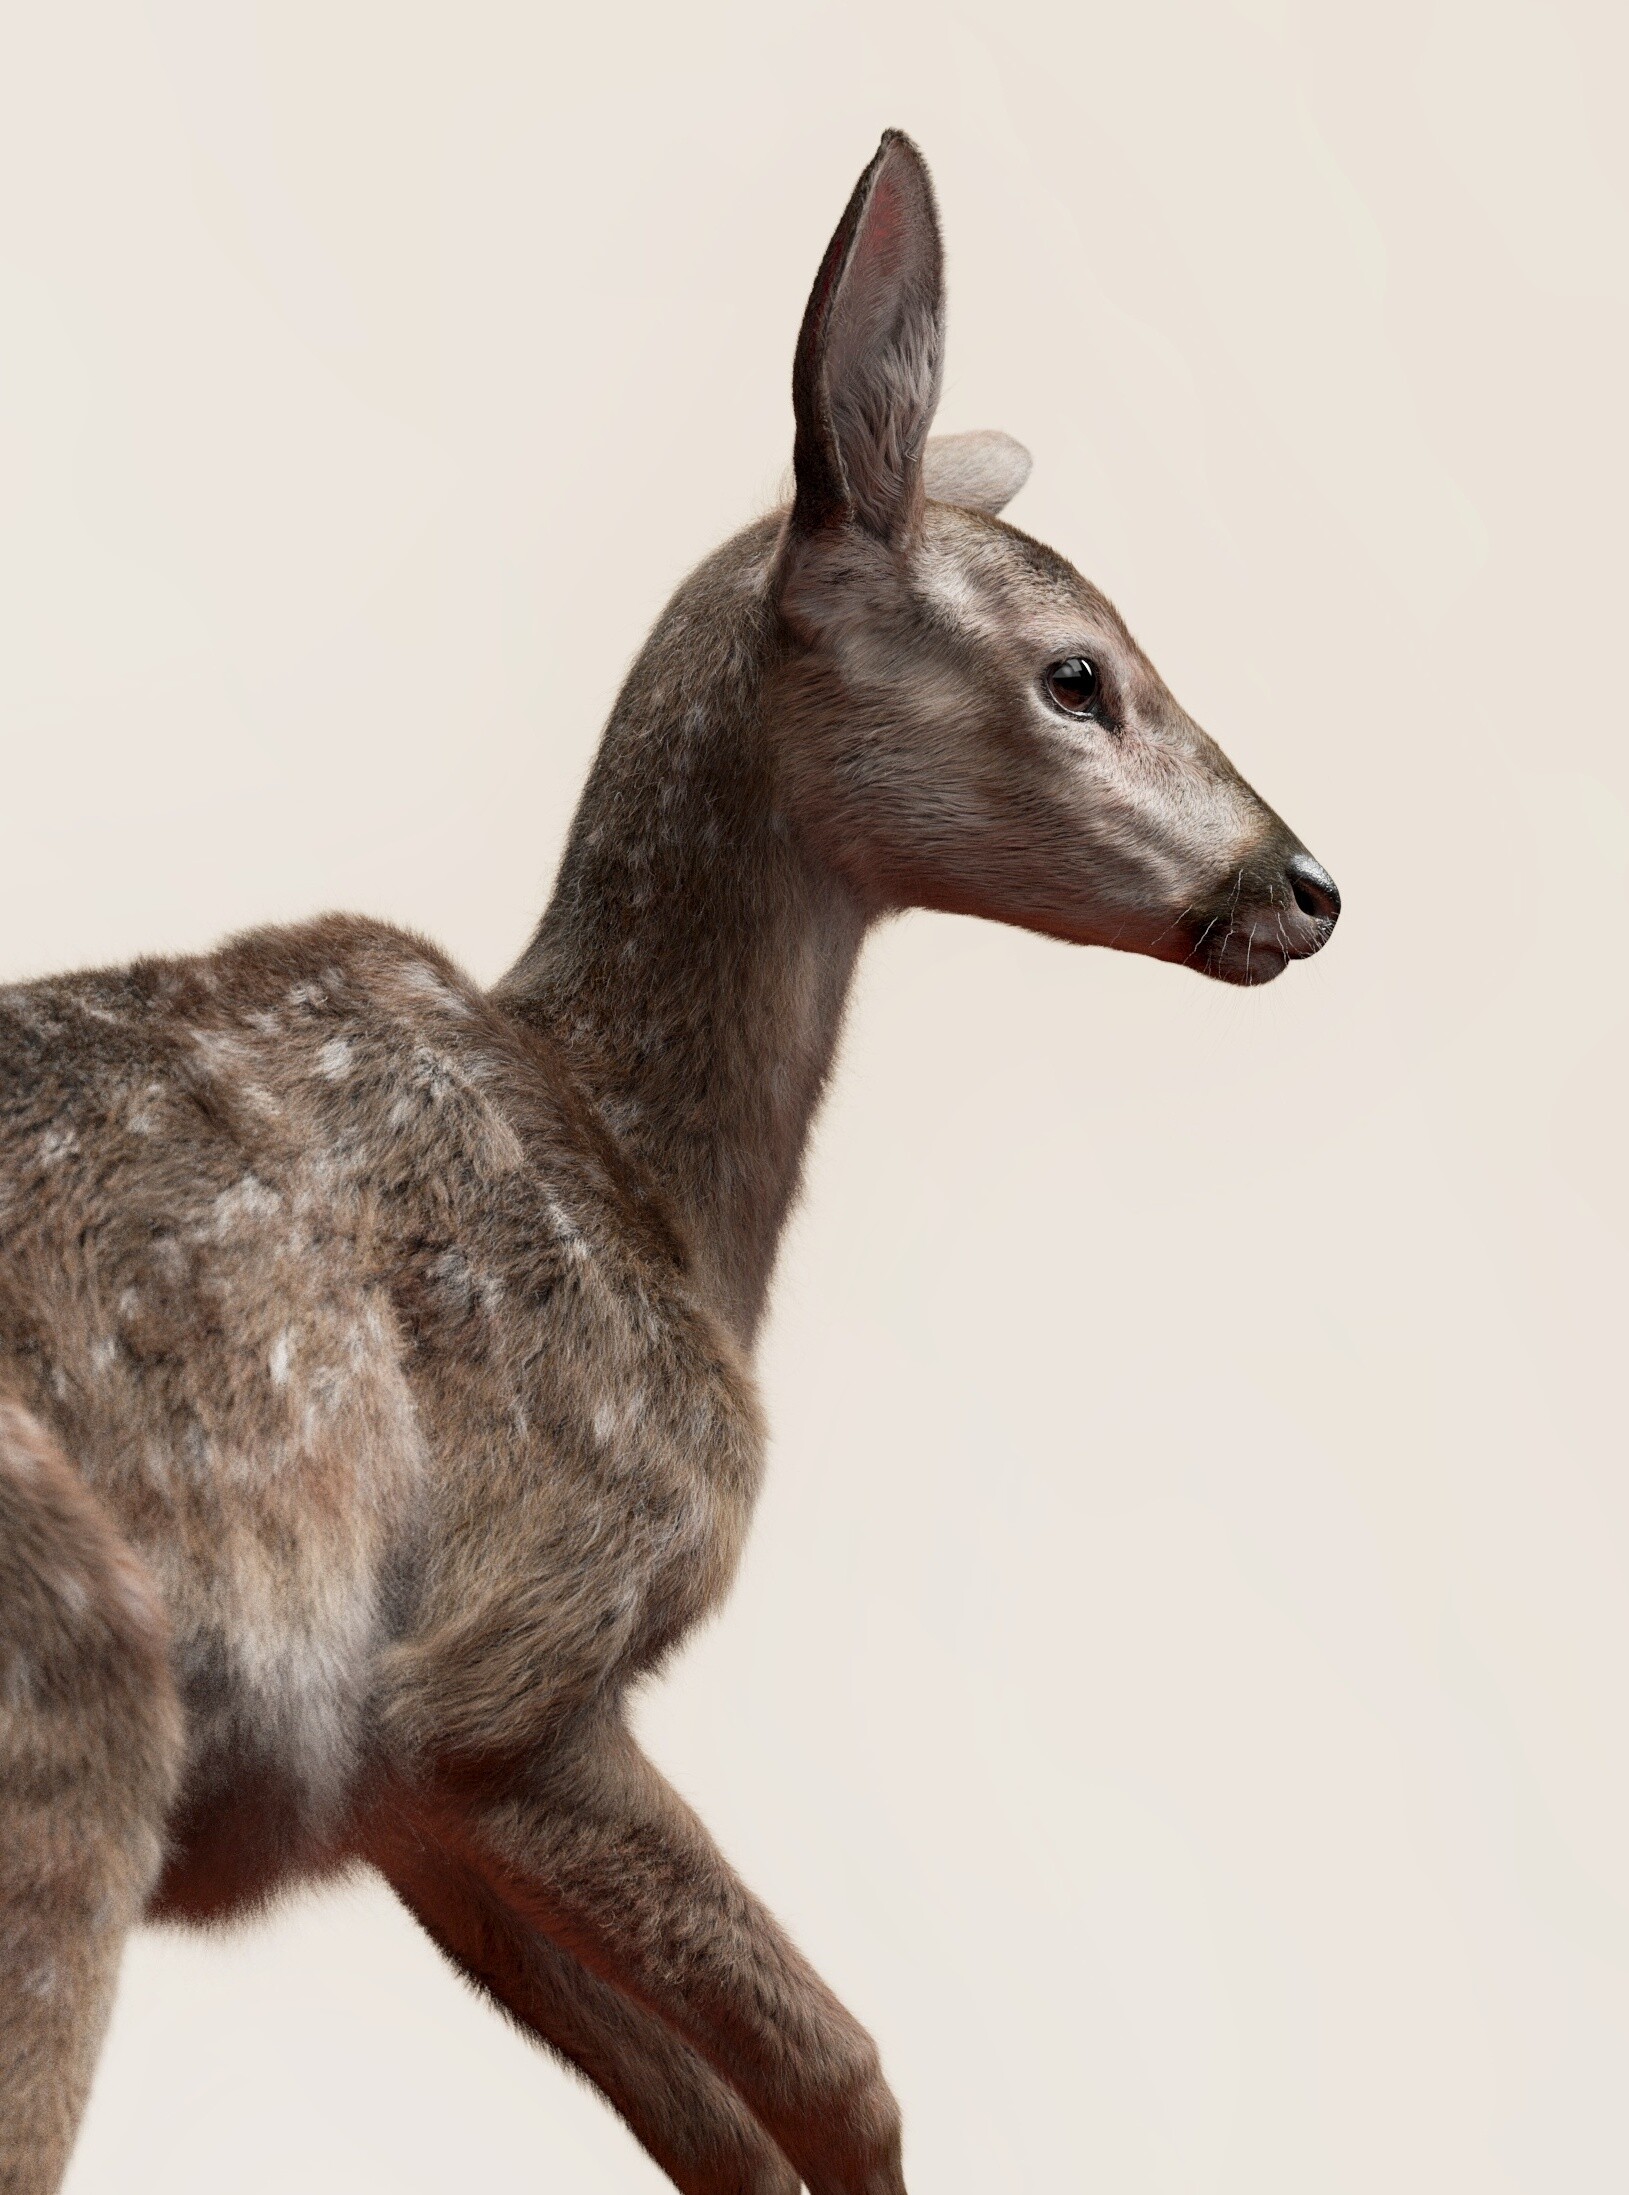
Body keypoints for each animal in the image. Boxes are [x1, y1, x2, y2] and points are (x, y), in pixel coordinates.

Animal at [0, 130, 1339, 2194]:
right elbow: (842, 2081)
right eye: (1075, 675)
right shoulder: (497, 1664)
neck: (653, 1184)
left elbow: (710, 2119)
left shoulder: (411, 1801)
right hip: (75, 1708)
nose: (1306, 884)